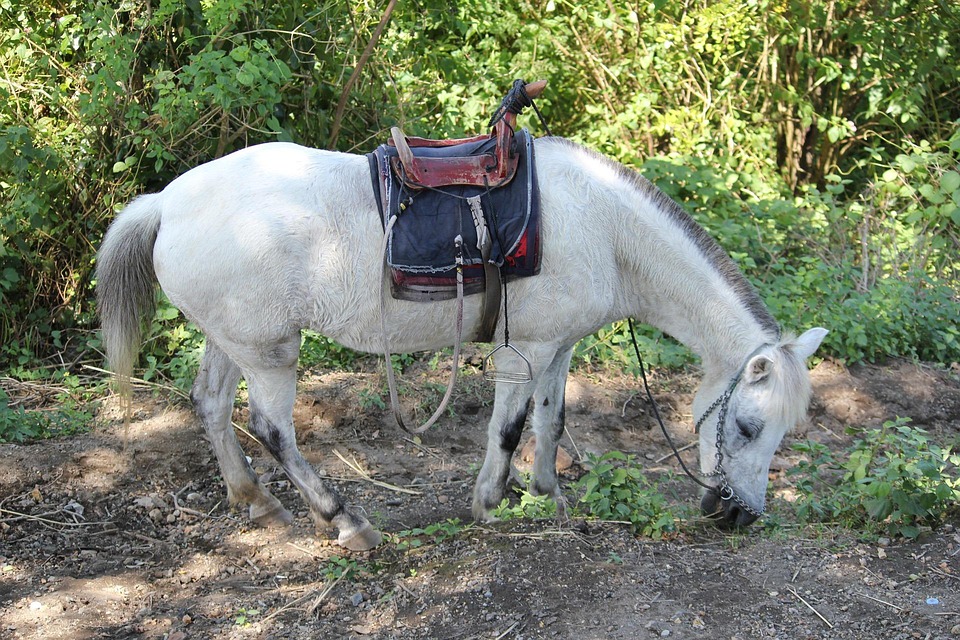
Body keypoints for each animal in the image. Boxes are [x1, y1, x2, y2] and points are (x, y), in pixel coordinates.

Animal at [96, 136, 827, 551]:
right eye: (747, 425)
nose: (739, 516)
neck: (605, 230)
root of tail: (166, 202)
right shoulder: (523, 351)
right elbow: (507, 428)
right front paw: (490, 504)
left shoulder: (557, 347)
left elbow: (552, 421)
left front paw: (548, 496)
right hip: (272, 353)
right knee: (273, 428)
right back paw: (346, 521)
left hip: (232, 341)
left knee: (212, 405)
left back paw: (253, 499)